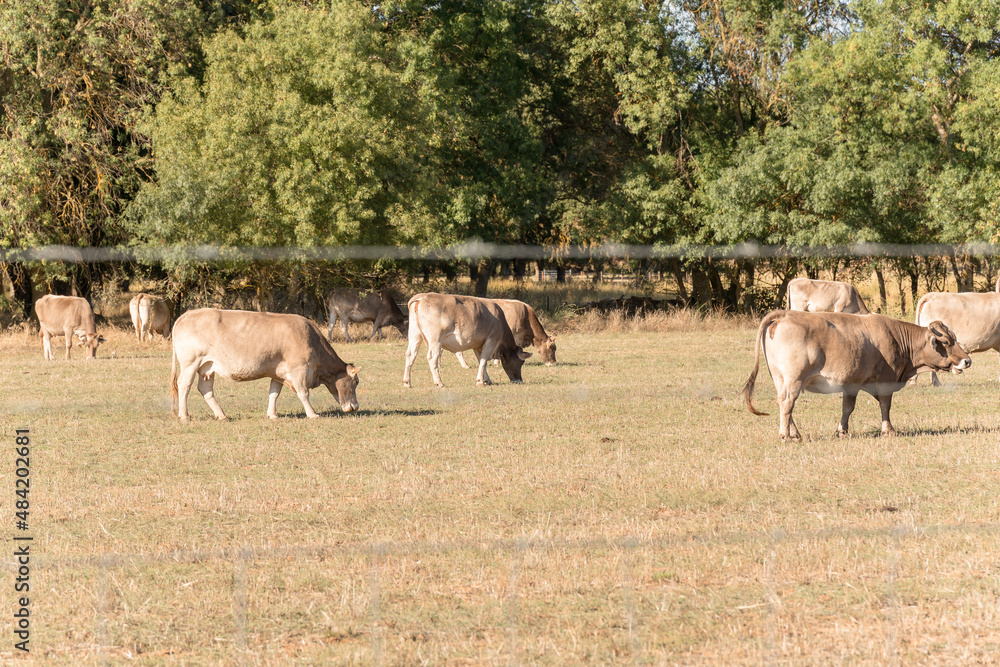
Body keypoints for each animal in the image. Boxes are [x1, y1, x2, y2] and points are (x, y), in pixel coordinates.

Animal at [171, 309, 360, 422]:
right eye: (356, 382)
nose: (355, 407)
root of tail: (188, 313)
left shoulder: (278, 373)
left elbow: (273, 393)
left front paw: (272, 414)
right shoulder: (298, 369)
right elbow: (303, 393)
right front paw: (312, 414)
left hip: (207, 367)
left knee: (206, 389)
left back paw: (222, 415)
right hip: (190, 363)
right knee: (184, 385)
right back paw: (184, 415)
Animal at [403, 293, 531, 388]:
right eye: (522, 362)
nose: (519, 380)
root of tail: (422, 297)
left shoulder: (478, 345)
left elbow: (481, 361)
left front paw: (486, 379)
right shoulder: (491, 340)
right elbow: (484, 361)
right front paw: (480, 381)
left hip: (415, 335)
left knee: (410, 355)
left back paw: (407, 382)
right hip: (435, 339)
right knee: (432, 358)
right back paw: (439, 382)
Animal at [742, 310, 970, 441]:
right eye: (946, 342)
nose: (967, 360)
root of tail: (784, 315)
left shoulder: (851, 384)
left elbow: (847, 408)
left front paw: (842, 431)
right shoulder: (885, 381)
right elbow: (885, 406)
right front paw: (889, 430)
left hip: (779, 378)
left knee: (784, 404)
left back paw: (794, 433)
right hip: (794, 379)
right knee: (788, 403)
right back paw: (785, 435)